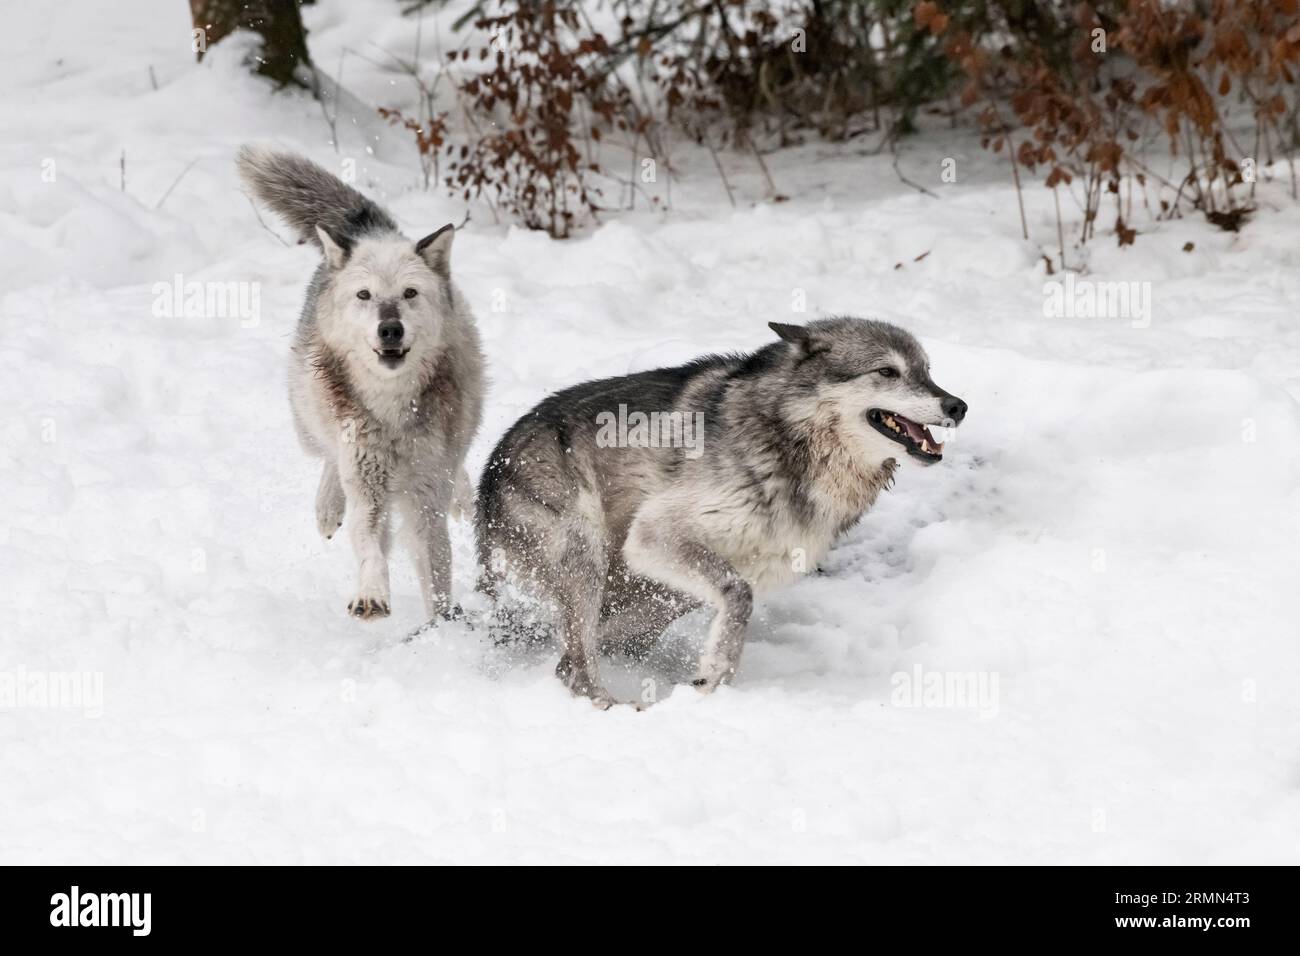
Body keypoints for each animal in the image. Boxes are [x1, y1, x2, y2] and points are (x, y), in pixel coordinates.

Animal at [238, 146, 484, 621]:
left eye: (409, 293)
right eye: (365, 295)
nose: (390, 329)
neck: (392, 409)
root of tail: (376, 233)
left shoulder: (426, 496)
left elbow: (437, 567)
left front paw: (441, 622)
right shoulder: (369, 489)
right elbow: (370, 546)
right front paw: (371, 594)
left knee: (459, 469)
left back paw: (463, 497)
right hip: (309, 422)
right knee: (328, 459)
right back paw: (327, 509)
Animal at [476, 318, 966, 706]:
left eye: (927, 372)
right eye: (887, 371)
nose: (958, 406)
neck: (791, 439)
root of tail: (490, 473)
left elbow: (732, 604)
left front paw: (705, 676)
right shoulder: (653, 534)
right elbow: (738, 597)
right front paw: (714, 676)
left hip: (659, 591)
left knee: (585, 647)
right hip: (588, 556)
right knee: (573, 665)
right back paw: (615, 706)